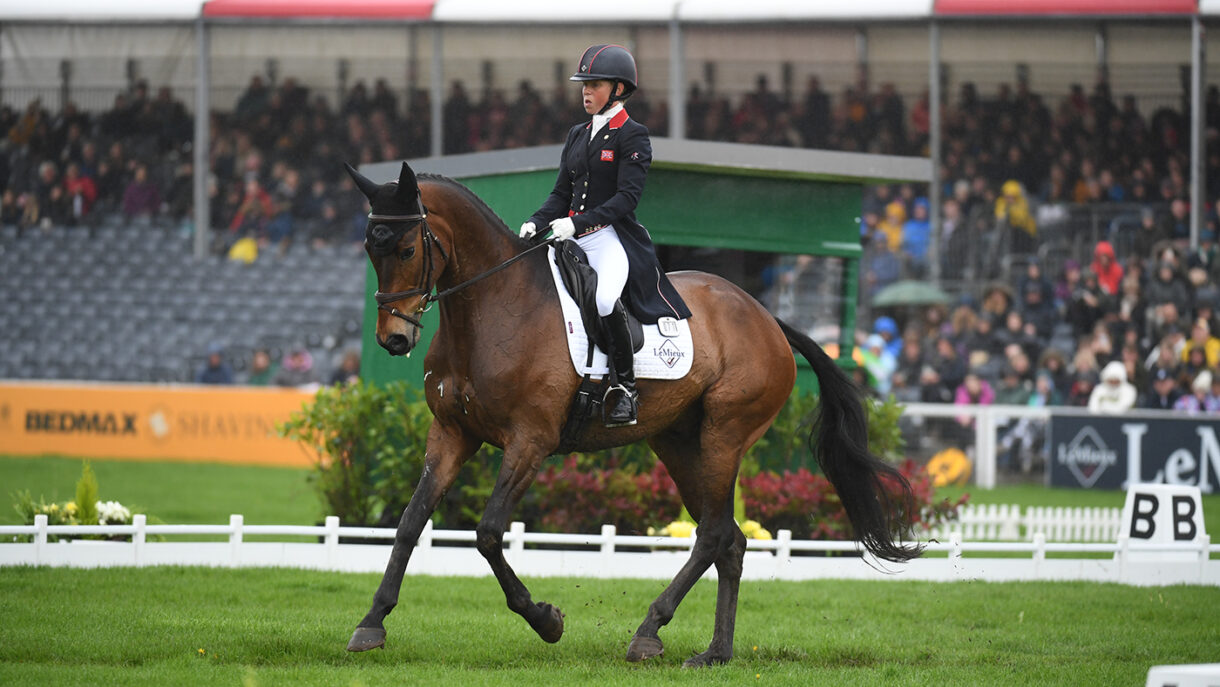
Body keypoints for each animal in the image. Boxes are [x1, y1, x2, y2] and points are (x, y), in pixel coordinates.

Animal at [342, 161, 921, 667]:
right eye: (370, 249)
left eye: (408, 247)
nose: (394, 339)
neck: (492, 308)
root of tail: (766, 317)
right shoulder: (451, 434)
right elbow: (409, 522)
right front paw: (371, 624)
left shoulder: (530, 441)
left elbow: (487, 532)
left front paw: (546, 620)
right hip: (678, 444)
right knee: (729, 539)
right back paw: (715, 652)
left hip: (725, 435)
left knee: (712, 535)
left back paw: (650, 631)